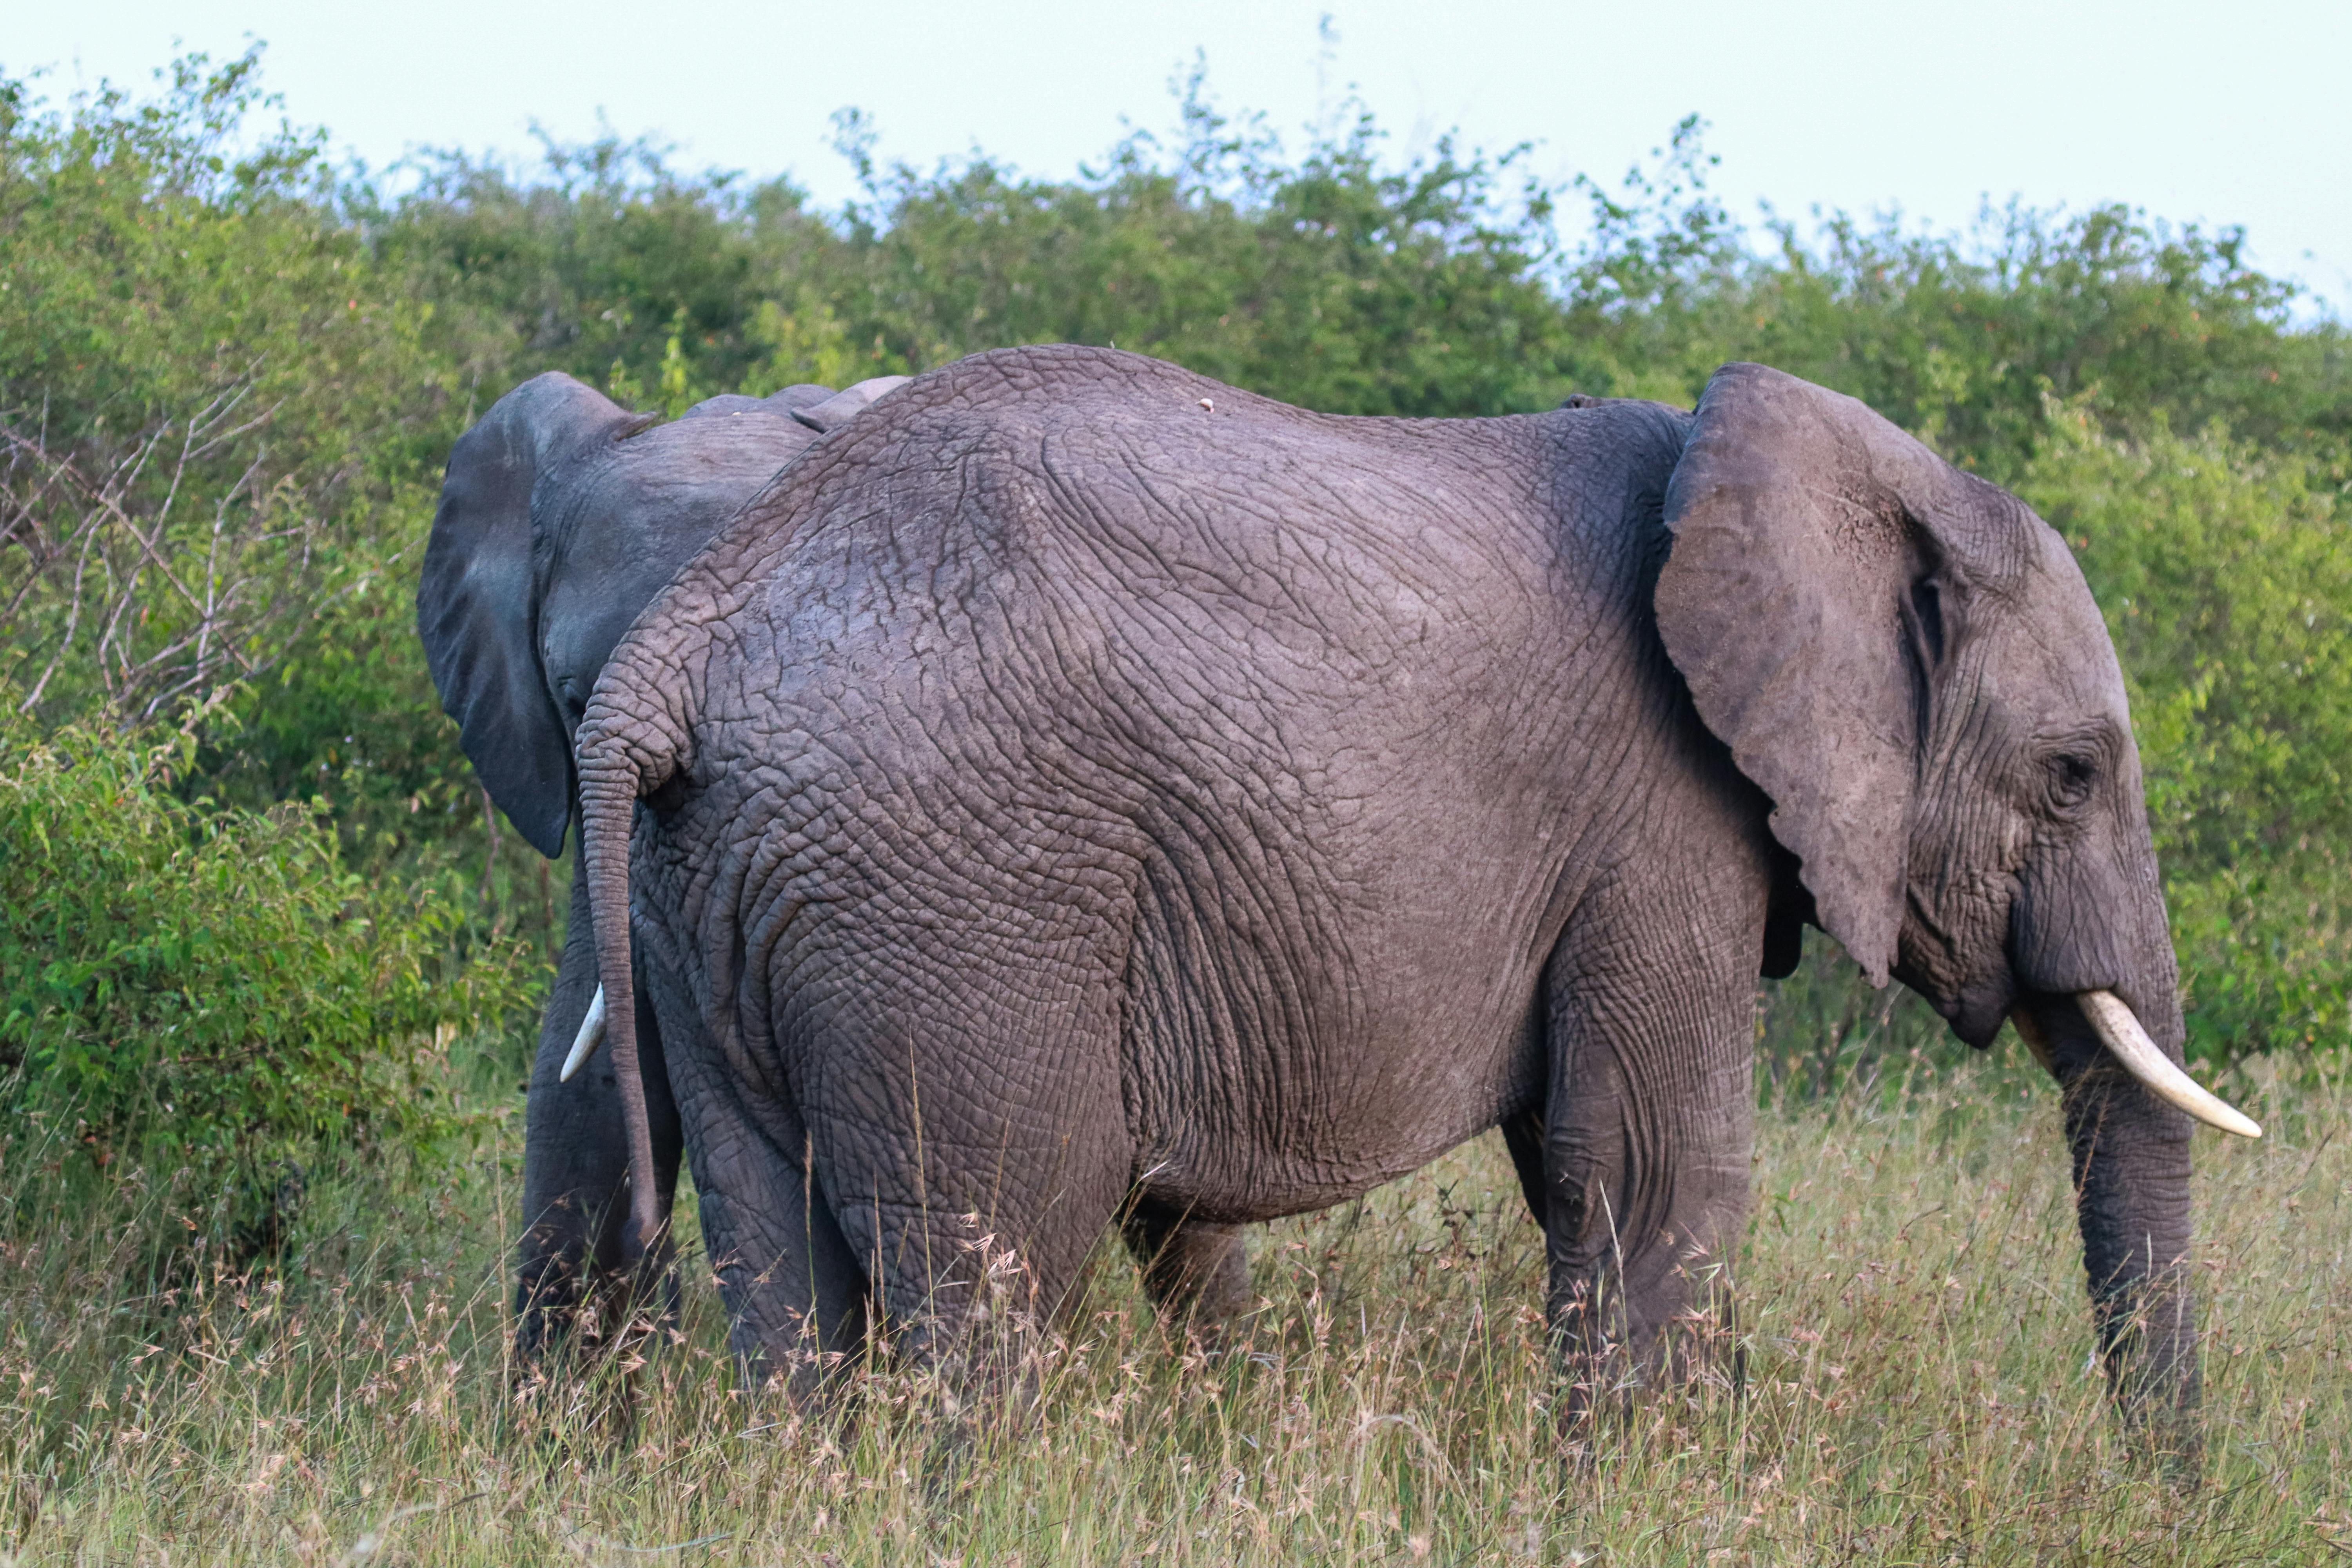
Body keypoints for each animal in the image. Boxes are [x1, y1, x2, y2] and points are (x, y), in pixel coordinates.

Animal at [564, 345, 2257, 1444]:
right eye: (2074, 777)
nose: (2168, 1495)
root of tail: (685, 640)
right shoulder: (1663, 815)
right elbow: (1656, 1173)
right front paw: (1648, 1494)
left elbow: (1585, 1170)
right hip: (964, 899)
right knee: (994, 1255)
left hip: (725, 893)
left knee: (781, 1266)